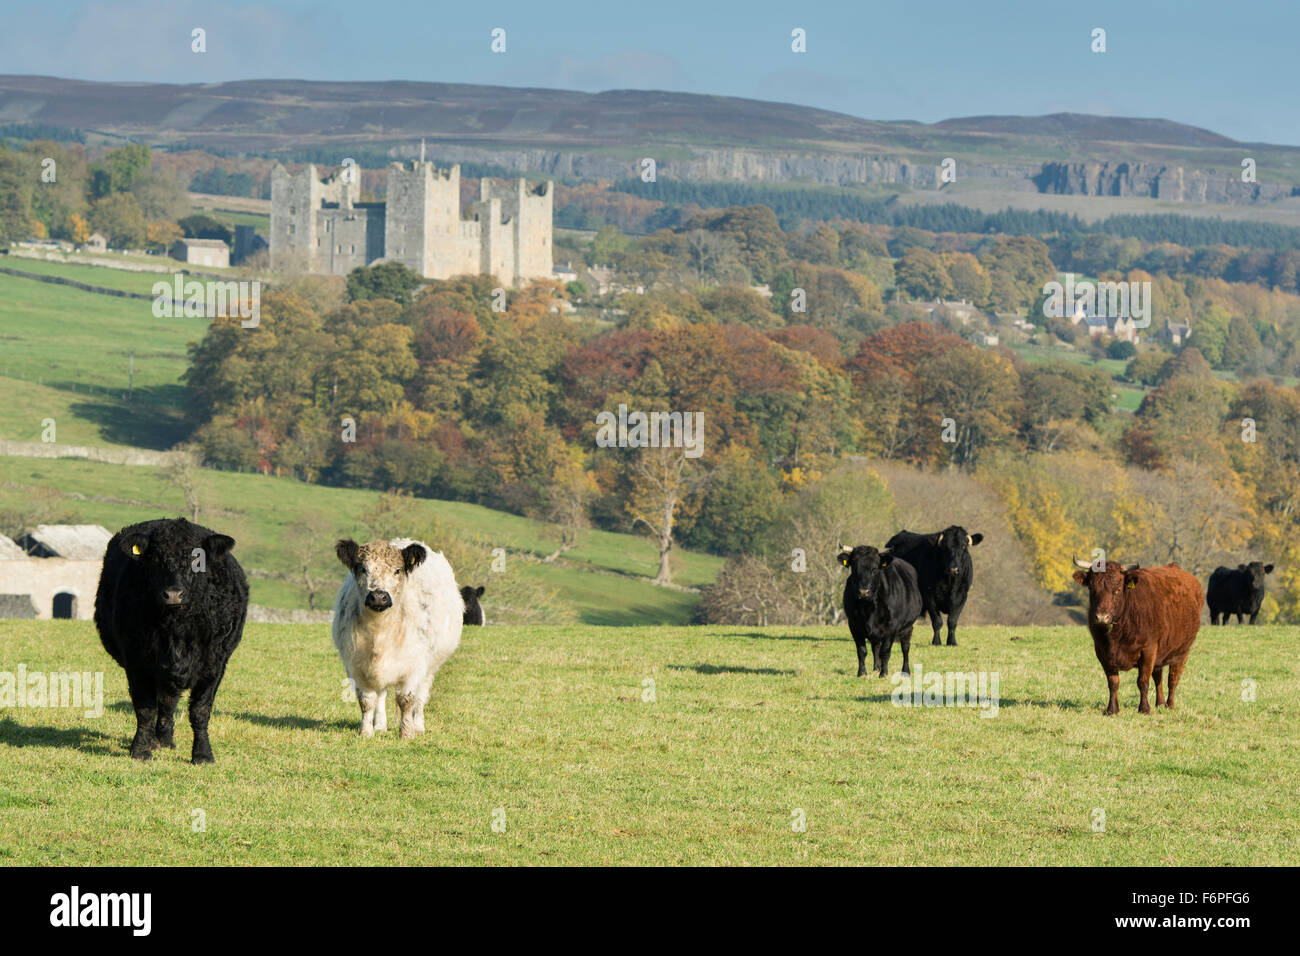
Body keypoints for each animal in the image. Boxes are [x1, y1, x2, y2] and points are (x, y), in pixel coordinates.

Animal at [93, 517, 248, 763]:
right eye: (156, 559)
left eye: (197, 558)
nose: (173, 594)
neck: (177, 630)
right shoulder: (137, 663)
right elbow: (145, 709)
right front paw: (141, 750)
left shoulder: (215, 664)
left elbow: (200, 710)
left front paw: (203, 754)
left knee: (169, 702)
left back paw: (165, 740)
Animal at [332, 538, 463, 739]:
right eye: (363, 568)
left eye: (397, 570)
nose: (379, 596)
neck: (380, 632)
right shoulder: (355, 665)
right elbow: (366, 700)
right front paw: (366, 732)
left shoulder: (414, 666)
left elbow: (406, 700)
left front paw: (407, 734)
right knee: (381, 694)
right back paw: (380, 725)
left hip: (430, 666)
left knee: (421, 696)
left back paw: (418, 726)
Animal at [838, 545, 923, 678]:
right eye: (854, 568)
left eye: (875, 569)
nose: (863, 592)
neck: (868, 608)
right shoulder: (853, 625)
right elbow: (862, 651)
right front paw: (862, 673)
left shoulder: (891, 627)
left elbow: (885, 651)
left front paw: (884, 673)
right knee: (875, 647)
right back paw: (876, 668)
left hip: (908, 627)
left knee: (905, 648)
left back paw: (905, 671)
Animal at [1071, 556, 1202, 714]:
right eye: (1091, 588)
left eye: (1118, 589)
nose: (1102, 617)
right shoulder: (1102, 652)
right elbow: (1113, 682)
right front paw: (1112, 709)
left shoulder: (1148, 650)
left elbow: (1143, 681)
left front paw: (1144, 709)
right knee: (1158, 677)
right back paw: (1160, 703)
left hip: (1182, 652)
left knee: (1173, 678)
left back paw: (1169, 705)